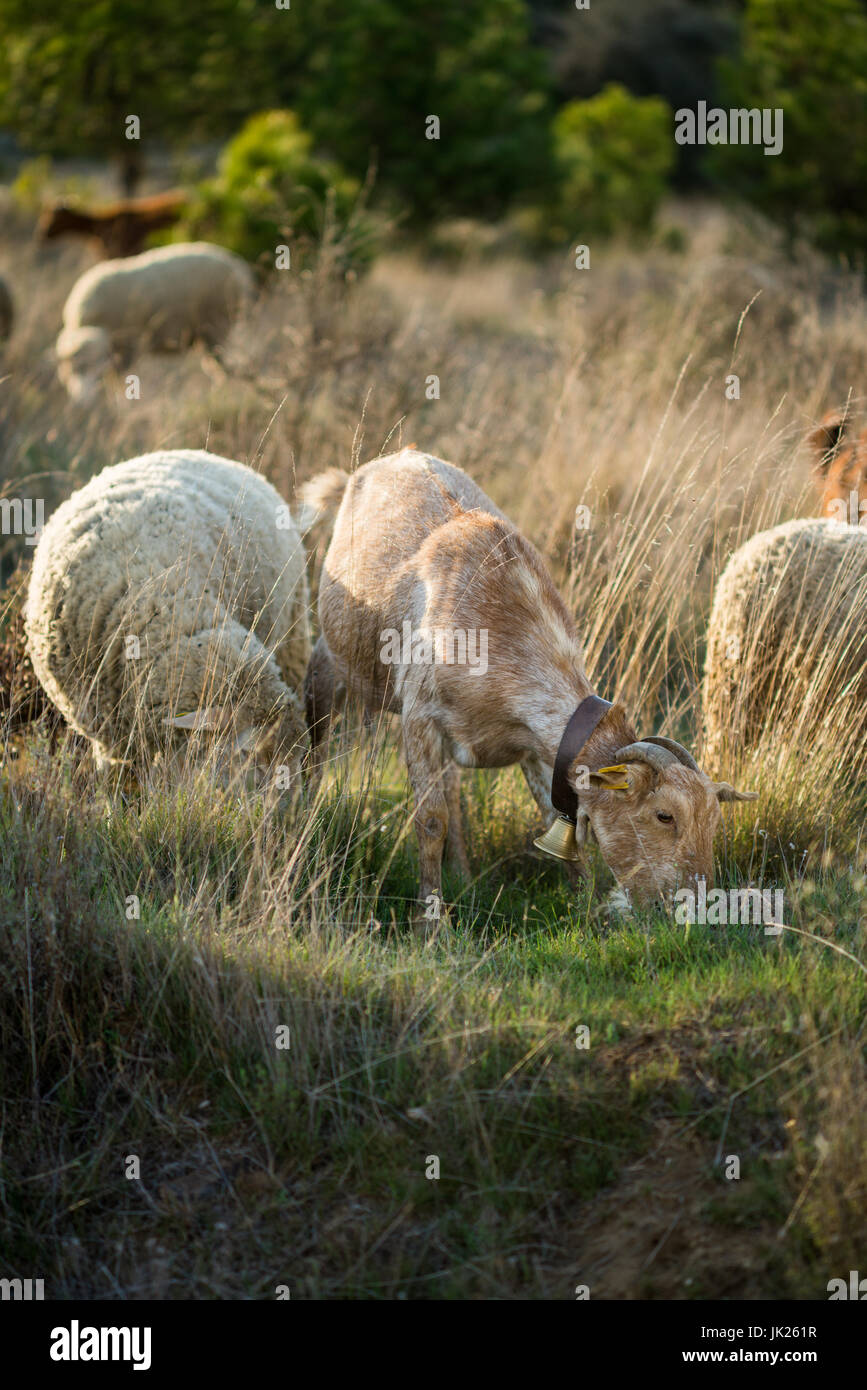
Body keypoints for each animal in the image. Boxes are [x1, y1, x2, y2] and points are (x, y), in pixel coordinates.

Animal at [56, 242, 254, 400]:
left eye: (87, 366)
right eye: (73, 368)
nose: (81, 400)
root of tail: (235, 262)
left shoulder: (132, 344)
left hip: (216, 322)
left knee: (217, 363)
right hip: (206, 331)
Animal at [299, 448, 754, 927]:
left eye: (715, 822)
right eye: (664, 815)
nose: (696, 908)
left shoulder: (538, 745)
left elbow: (548, 811)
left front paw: (587, 907)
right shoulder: (419, 715)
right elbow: (430, 819)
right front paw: (433, 924)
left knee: (453, 789)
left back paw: (463, 872)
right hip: (329, 663)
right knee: (318, 742)